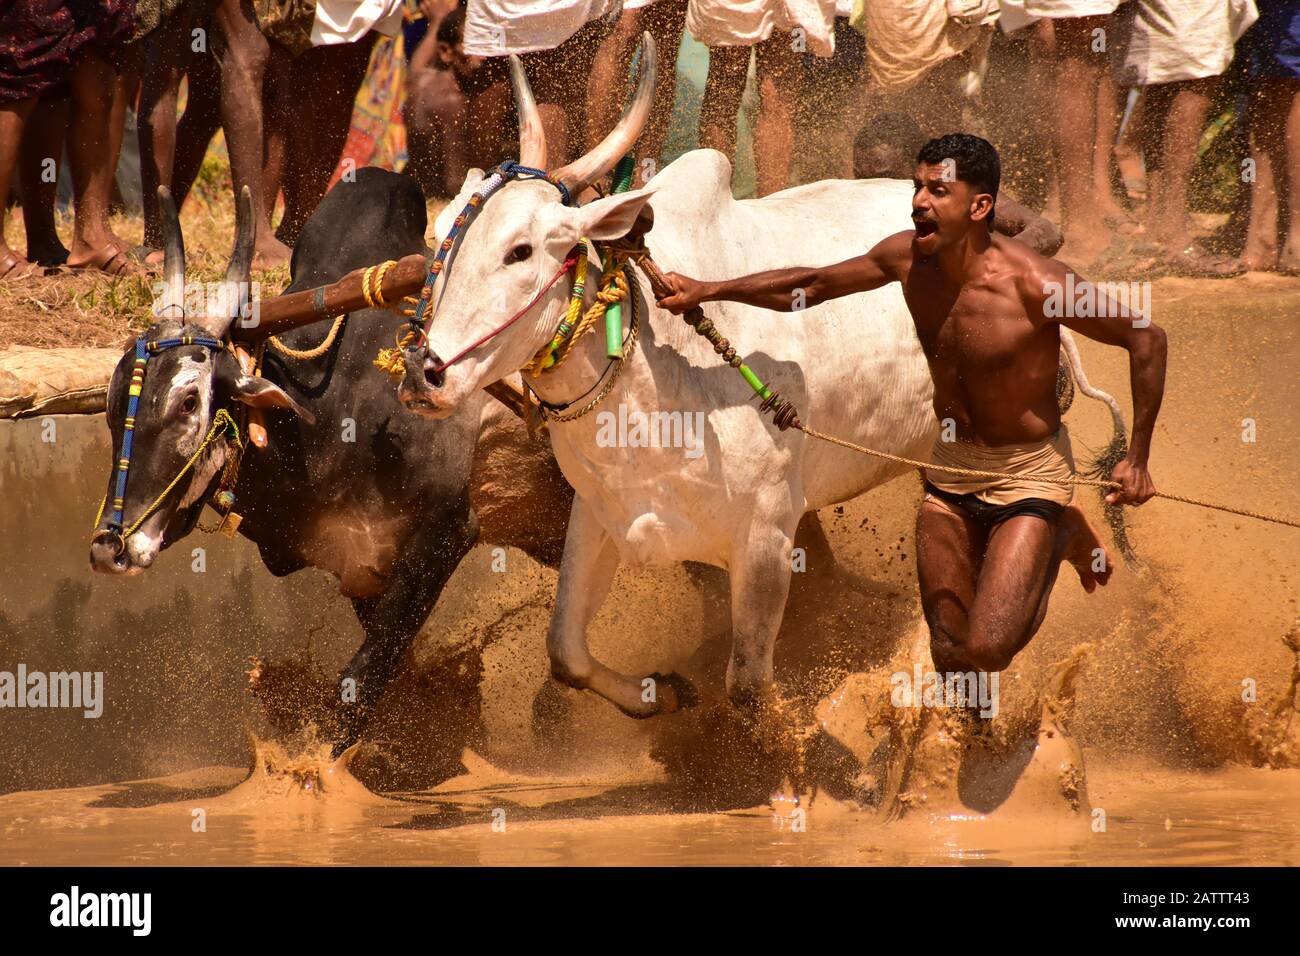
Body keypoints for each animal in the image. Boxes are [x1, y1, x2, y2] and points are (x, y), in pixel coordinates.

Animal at [88, 169, 572, 754]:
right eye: (114, 404)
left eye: (188, 401)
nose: (110, 546)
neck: (325, 424)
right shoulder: (362, 569)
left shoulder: (448, 532)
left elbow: (359, 684)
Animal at [395, 37, 1125, 722]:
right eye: (440, 238)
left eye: (519, 250)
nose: (422, 375)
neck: (650, 389)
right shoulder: (599, 517)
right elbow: (565, 653)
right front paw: (663, 694)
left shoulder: (768, 539)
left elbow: (749, 690)